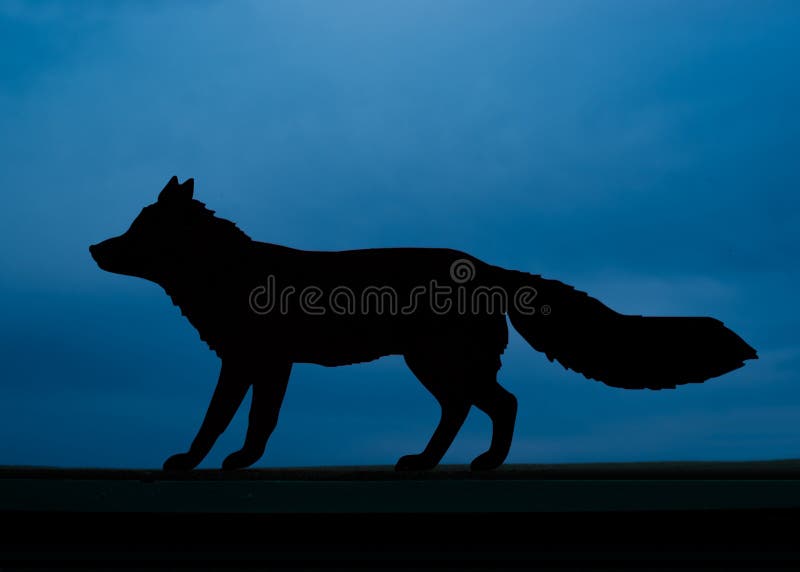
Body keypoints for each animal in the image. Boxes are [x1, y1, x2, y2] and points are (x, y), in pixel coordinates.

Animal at [90, 176, 758, 471]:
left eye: (138, 231)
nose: (94, 248)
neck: (224, 274)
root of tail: (489, 267)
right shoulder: (263, 367)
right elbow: (246, 420)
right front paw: (226, 460)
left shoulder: (253, 364)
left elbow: (229, 419)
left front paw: (200, 460)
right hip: (434, 366)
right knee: (473, 408)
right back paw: (431, 461)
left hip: (436, 363)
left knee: (499, 404)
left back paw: (477, 464)